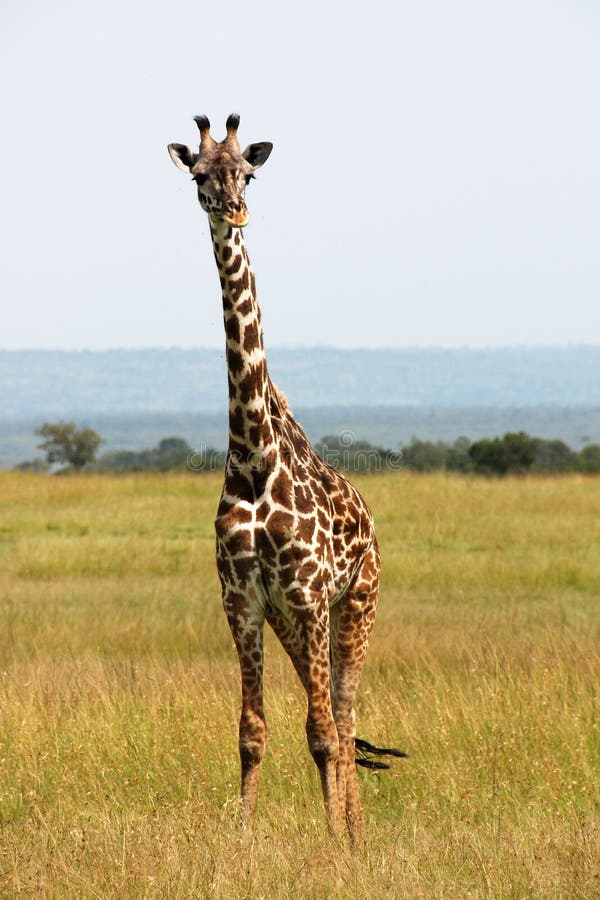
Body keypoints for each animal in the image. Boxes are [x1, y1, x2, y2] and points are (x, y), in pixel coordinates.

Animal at [168, 114, 394, 842]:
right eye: (200, 175)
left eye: (249, 172)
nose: (234, 208)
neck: (254, 457)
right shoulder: (242, 600)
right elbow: (252, 731)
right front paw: (240, 841)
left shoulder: (305, 594)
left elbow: (320, 733)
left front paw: (332, 844)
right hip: (297, 624)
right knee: (335, 720)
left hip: (355, 604)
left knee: (344, 718)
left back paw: (355, 832)